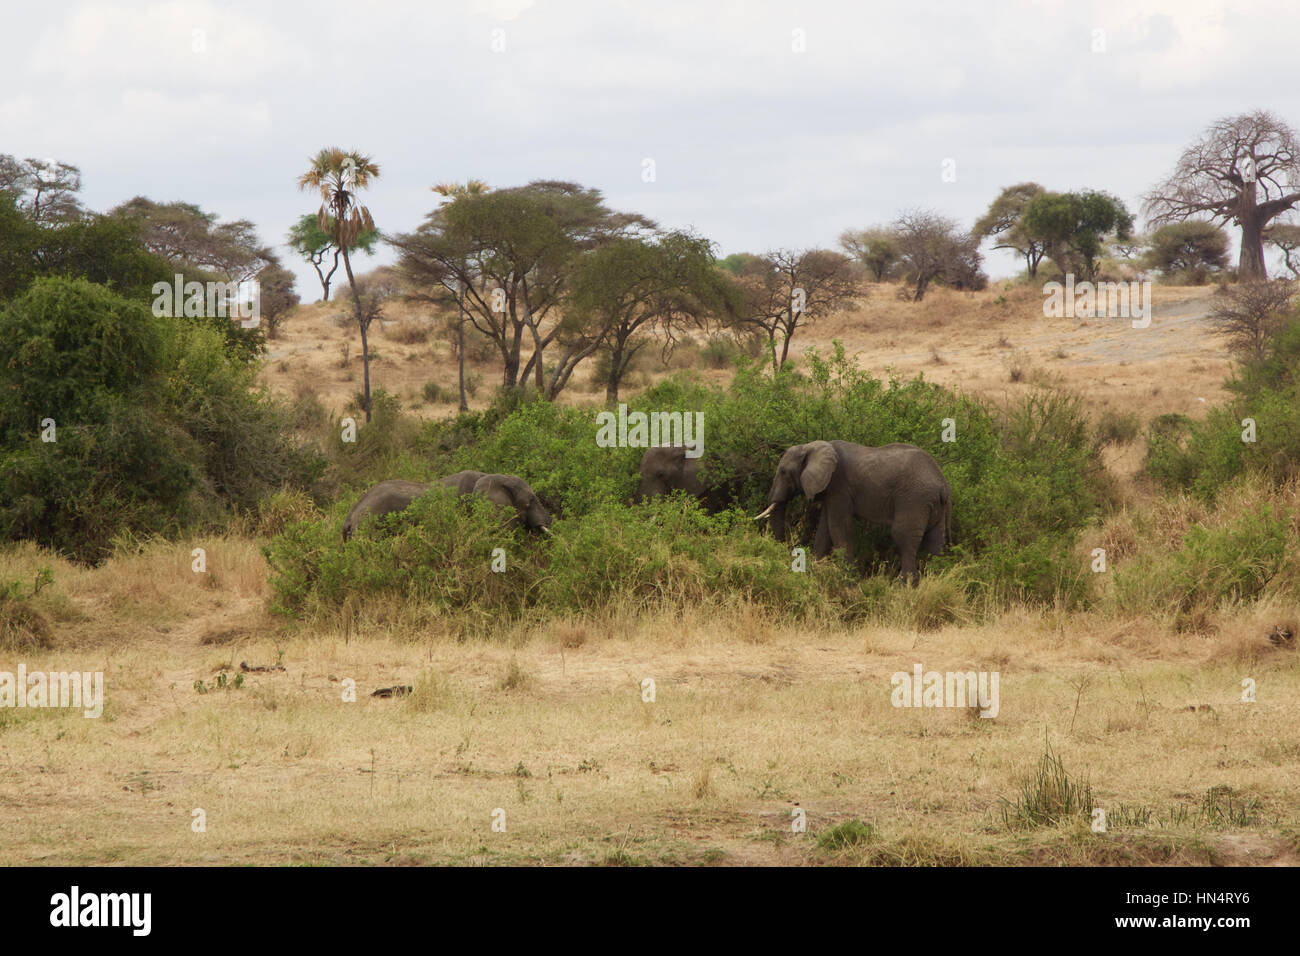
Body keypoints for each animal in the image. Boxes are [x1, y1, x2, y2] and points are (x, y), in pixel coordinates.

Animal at [754, 440, 951, 584]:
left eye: (783, 472)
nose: (787, 550)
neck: (812, 446)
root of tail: (943, 485)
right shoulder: (830, 490)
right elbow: (825, 529)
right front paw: (815, 571)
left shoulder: (839, 486)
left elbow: (839, 528)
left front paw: (849, 581)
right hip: (934, 505)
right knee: (934, 541)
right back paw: (936, 580)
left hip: (914, 499)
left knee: (903, 537)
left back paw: (904, 587)